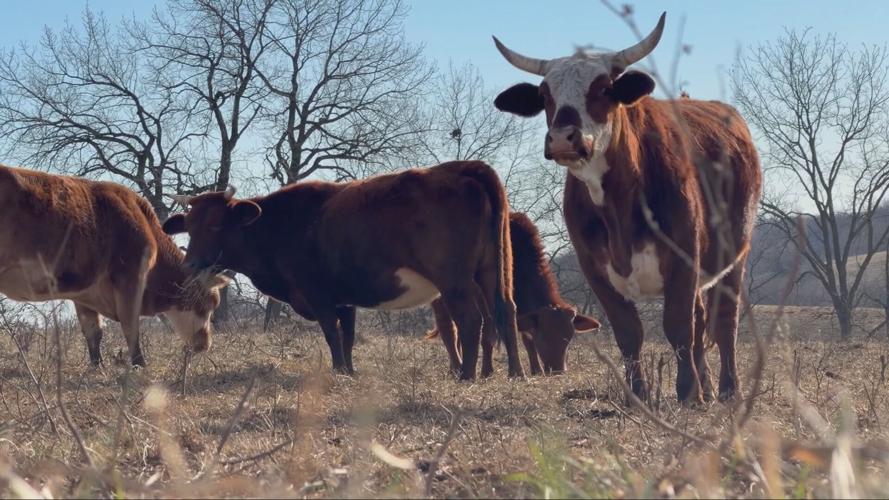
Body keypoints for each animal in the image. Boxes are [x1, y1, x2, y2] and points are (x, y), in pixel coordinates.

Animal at [0, 165, 230, 366]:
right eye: (210, 303)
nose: (205, 344)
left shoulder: (83, 291)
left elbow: (93, 331)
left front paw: (97, 367)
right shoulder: (130, 278)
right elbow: (130, 326)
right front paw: (139, 365)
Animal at [162, 161, 526, 380]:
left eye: (216, 224)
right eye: (190, 227)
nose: (190, 264)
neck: (279, 224)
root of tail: (463, 167)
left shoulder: (318, 294)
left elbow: (332, 333)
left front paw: (338, 370)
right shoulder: (345, 298)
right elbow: (348, 336)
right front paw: (349, 371)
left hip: (454, 279)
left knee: (471, 319)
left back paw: (467, 374)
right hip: (490, 272)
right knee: (504, 311)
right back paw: (510, 372)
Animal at [426, 212, 600, 375]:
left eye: (568, 339)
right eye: (543, 337)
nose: (558, 371)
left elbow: (526, 339)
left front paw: (536, 370)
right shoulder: (482, 298)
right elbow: (487, 335)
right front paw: (486, 372)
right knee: (448, 329)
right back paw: (457, 368)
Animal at [491, 12, 762, 403]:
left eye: (604, 88)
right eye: (544, 95)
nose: (562, 138)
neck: (617, 206)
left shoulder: (683, 258)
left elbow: (679, 327)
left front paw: (687, 393)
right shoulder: (595, 268)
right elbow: (629, 332)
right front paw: (640, 395)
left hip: (734, 258)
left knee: (724, 323)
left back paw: (727, 389)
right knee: (701, 322)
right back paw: (708, 388)